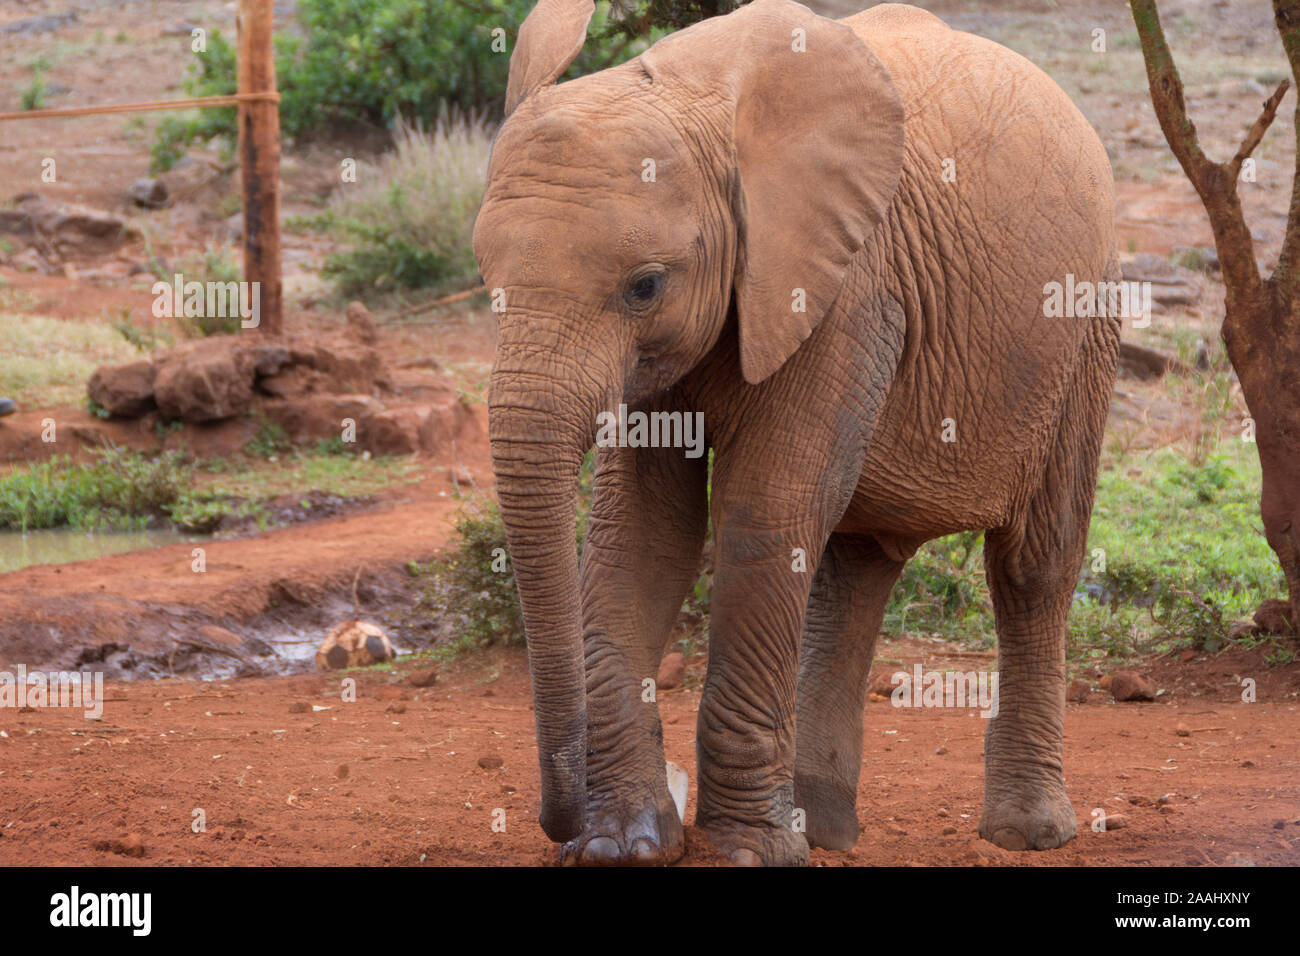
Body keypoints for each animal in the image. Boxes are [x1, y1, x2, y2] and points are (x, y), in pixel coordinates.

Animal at [473, 0, 1119, 865]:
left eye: (645, 287)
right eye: (487, 282)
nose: (560, 821)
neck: (693, 97)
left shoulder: (846, 291)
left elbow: (762, 517)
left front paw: (746, 854)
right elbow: (647, 533)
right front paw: (622, 846)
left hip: (1084, 327)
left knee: (1032, 565)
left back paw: (1026, 833)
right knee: (856, 569)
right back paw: (828, 829)